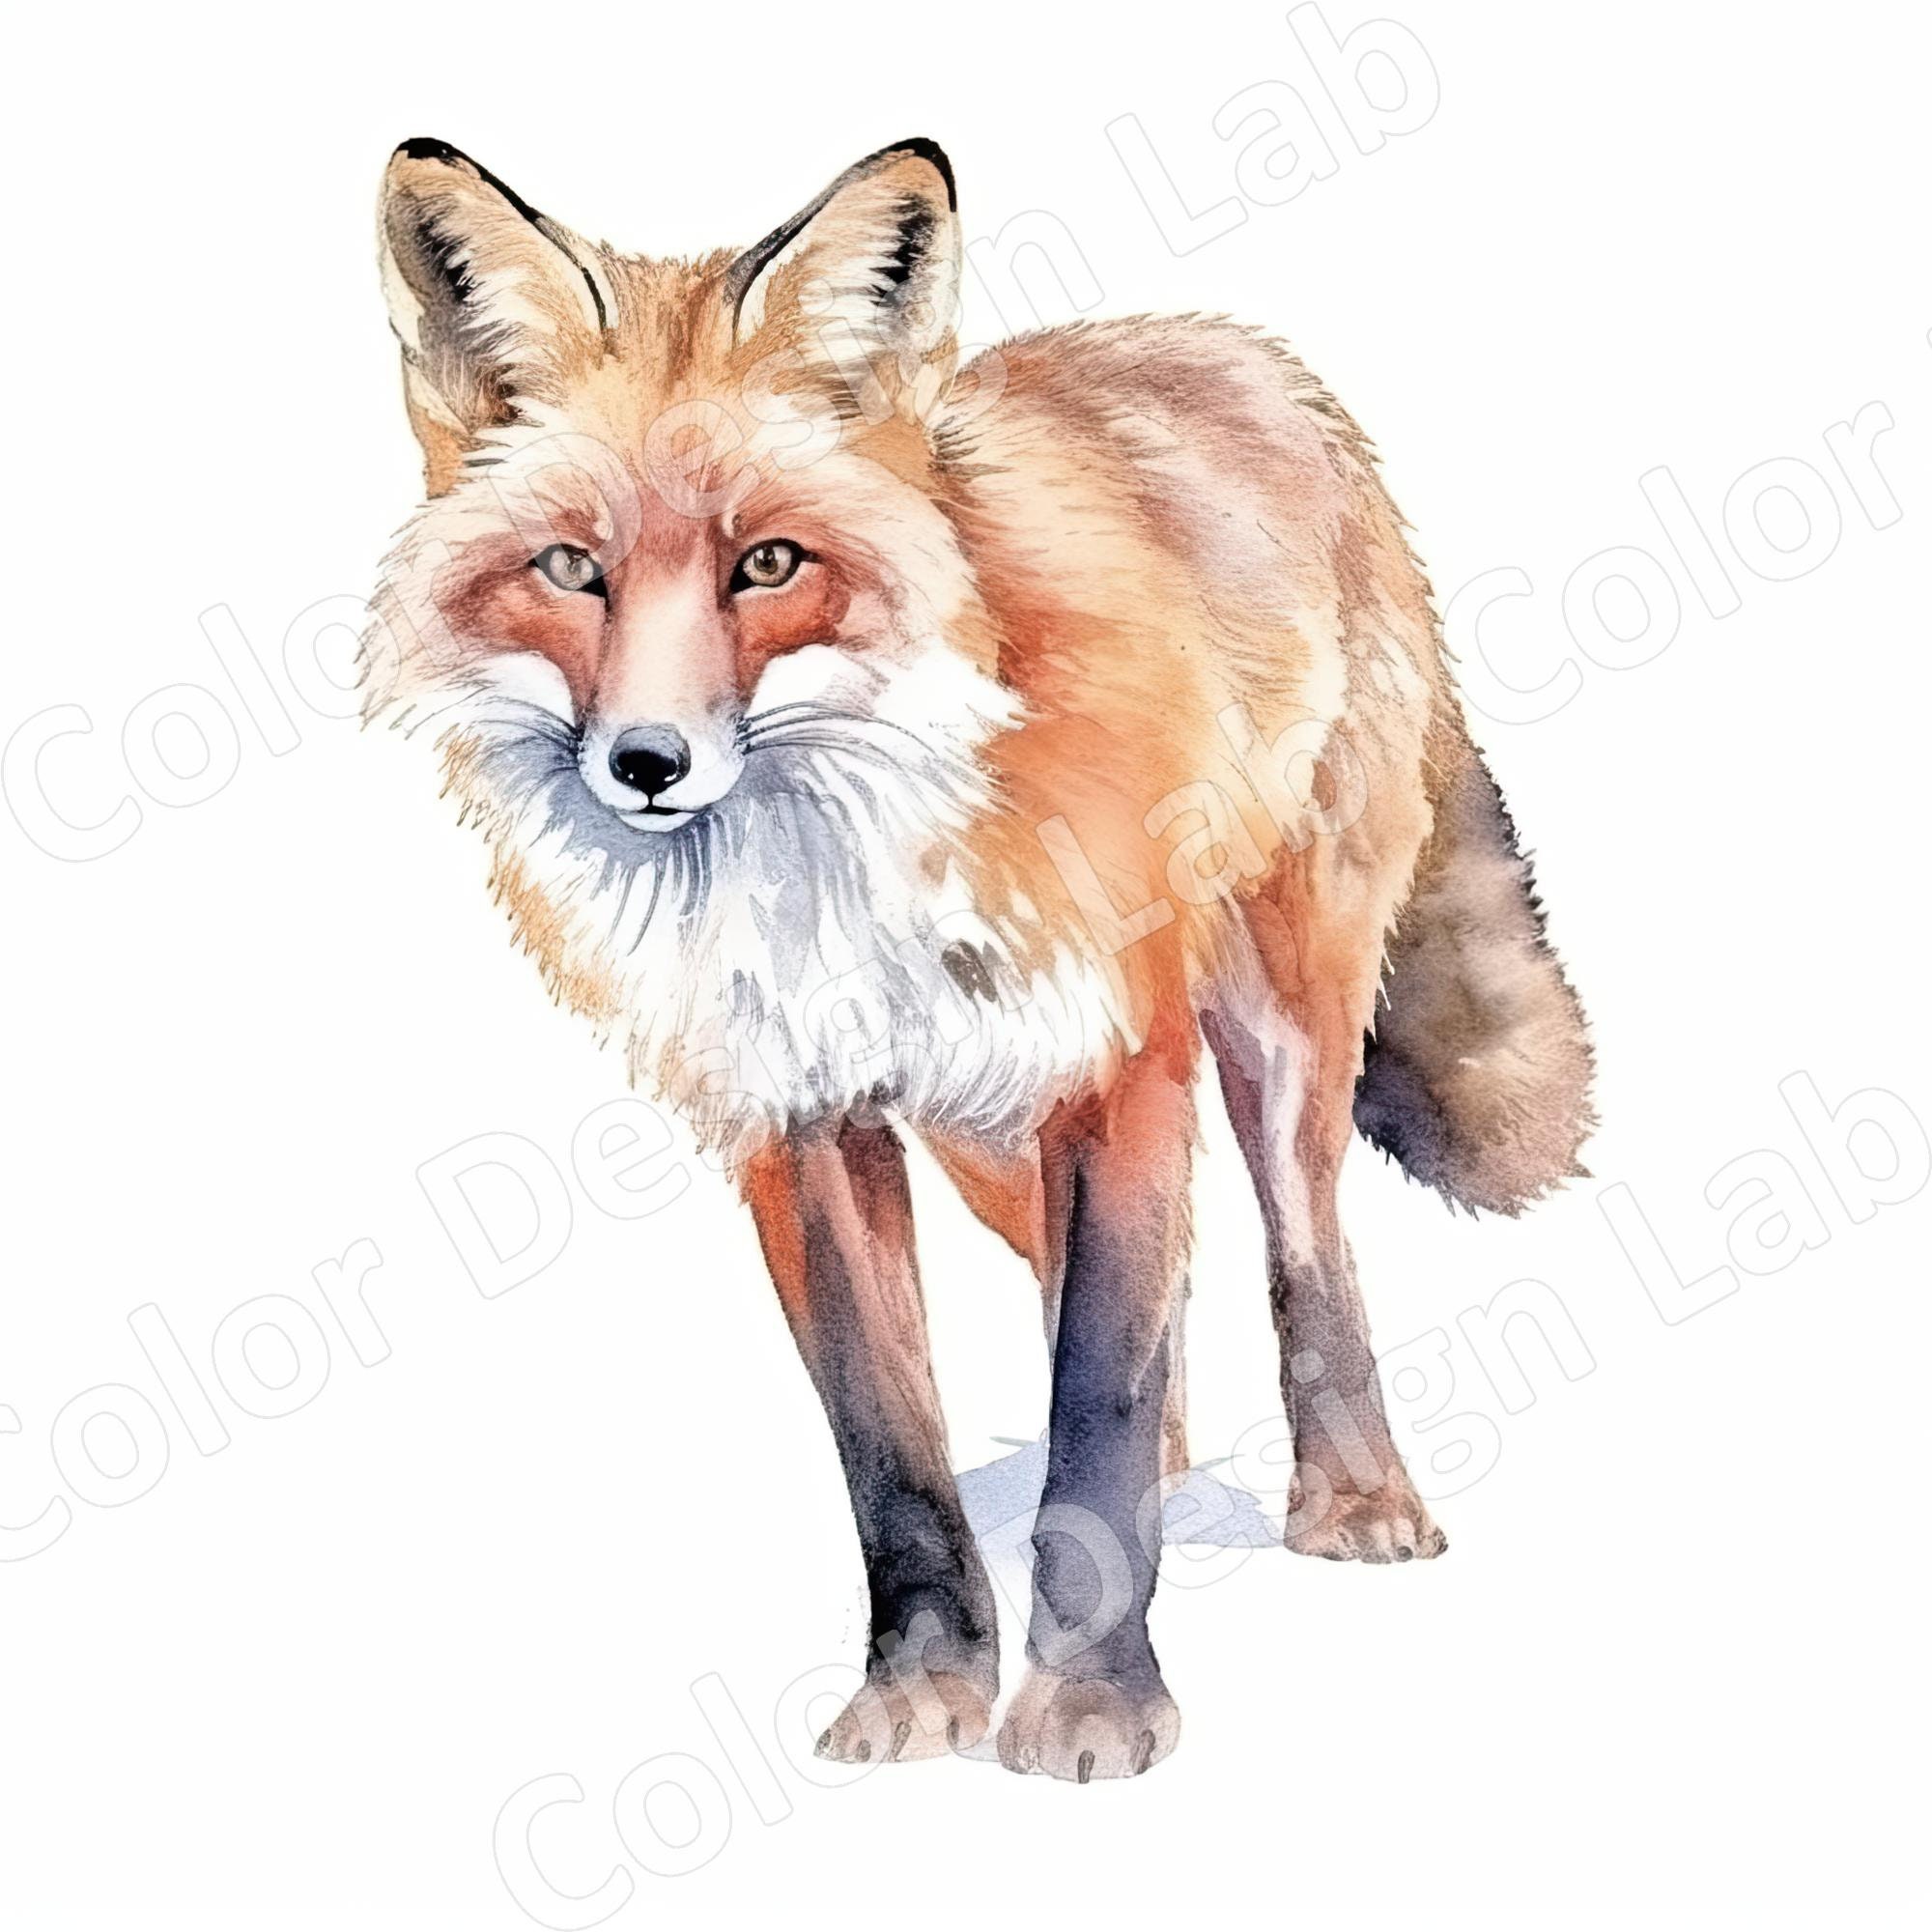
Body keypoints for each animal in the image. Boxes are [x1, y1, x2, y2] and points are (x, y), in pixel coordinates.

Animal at [366, 136, 1592, 1781]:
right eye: (572, 568)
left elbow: (1098, 1403)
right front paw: (922, 1695)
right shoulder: (802, 1120)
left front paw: (1093, 1706)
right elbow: (897, 1452)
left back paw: (1353, 1500)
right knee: (1144, 1303)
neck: (840, 861)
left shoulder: (1118, 1061)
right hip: (980, 1137)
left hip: (1269, 1024)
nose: (646, 763)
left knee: (1302, 1252)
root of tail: (1251, 356)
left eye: (770, 563)